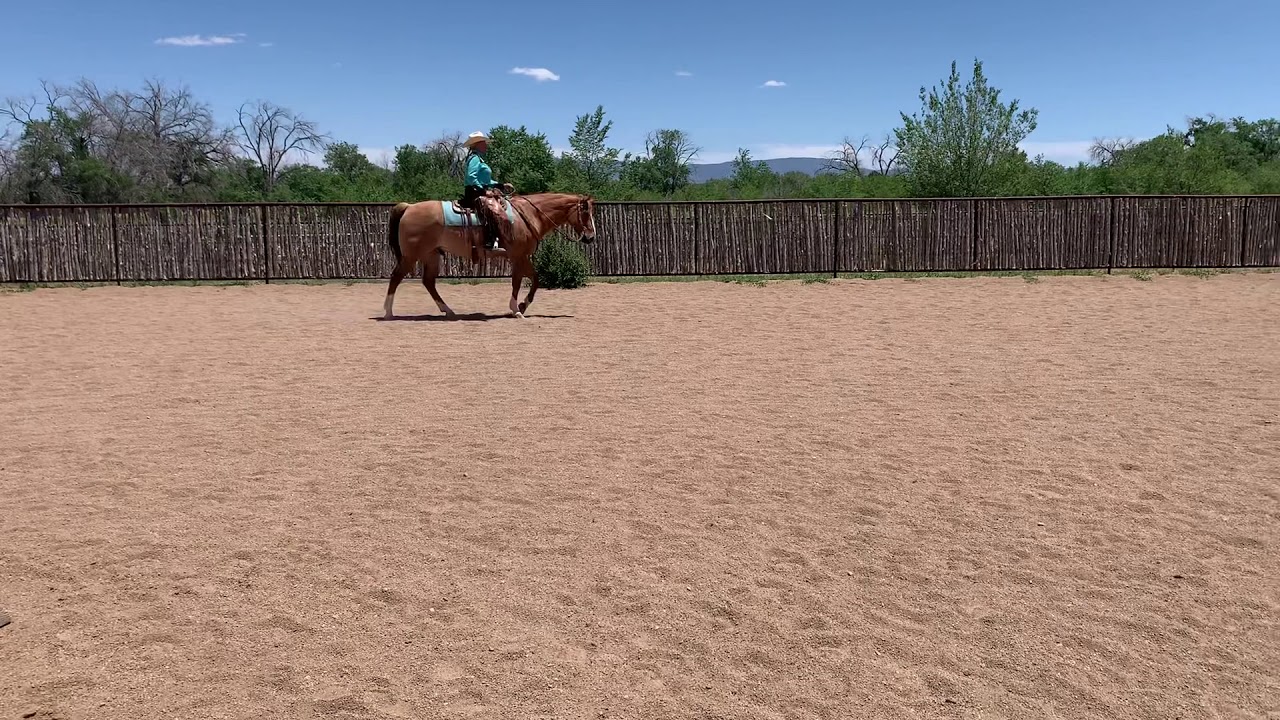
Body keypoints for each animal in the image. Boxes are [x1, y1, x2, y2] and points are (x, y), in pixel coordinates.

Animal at [382, 192, 597, 320]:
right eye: (586, 213)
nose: (591, 237)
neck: (527, 215)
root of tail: (409, 207)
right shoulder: (517, 257)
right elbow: (517, 282)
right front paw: (516, 309)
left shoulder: (523, 257)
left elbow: (535, 279)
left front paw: (523, 305)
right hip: (411, 256)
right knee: (396, 277)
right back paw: (388, 312)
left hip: (431, 255)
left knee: (428, 282)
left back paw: (448, 311)